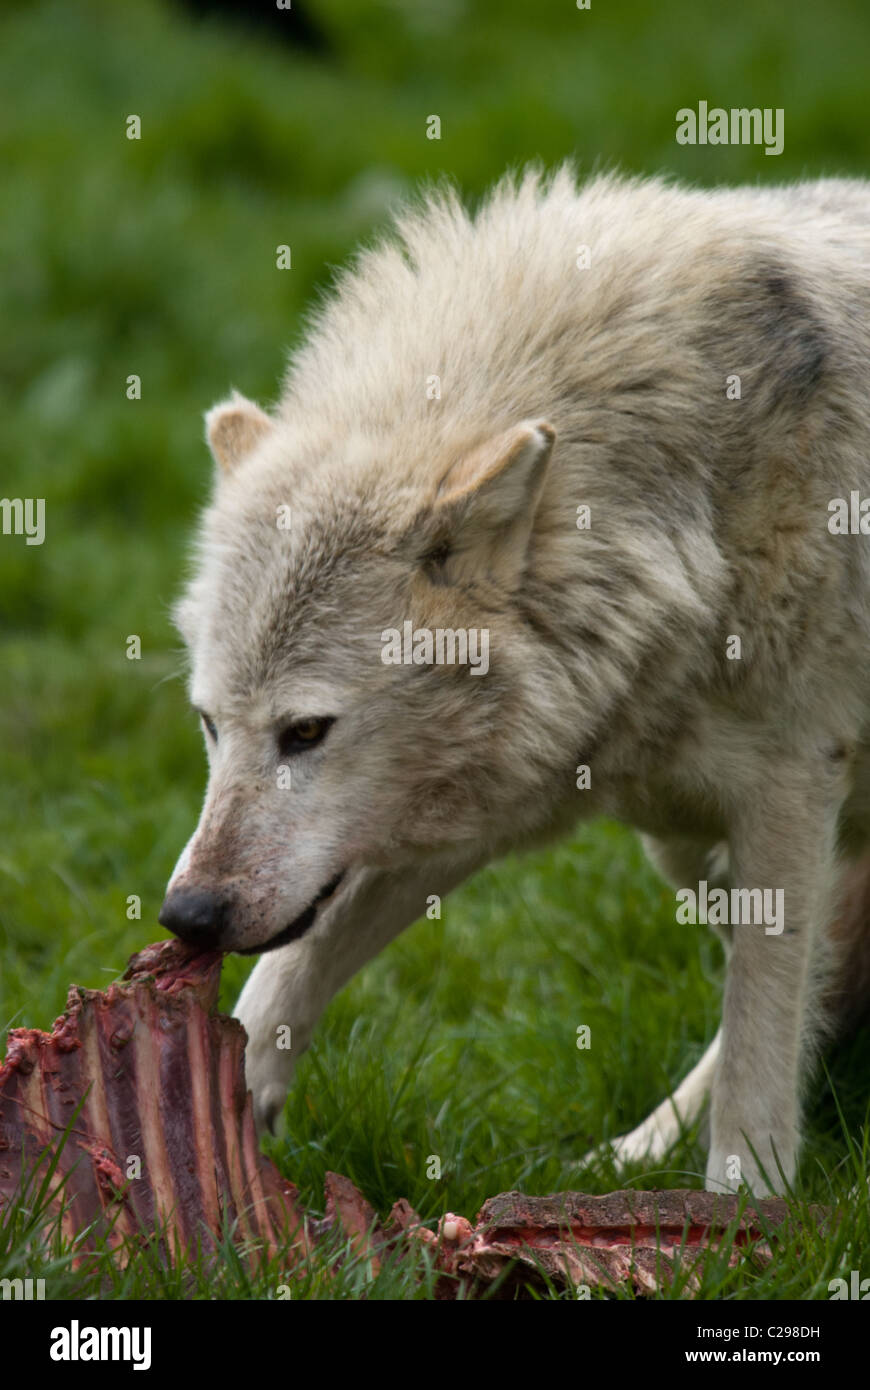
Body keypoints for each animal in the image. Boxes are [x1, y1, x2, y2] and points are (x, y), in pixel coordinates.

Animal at [160, 167, 870, 1194]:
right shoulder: (486, 793)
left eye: (306, 732)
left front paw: (748, 1207)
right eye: (211, 725)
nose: (187, 915)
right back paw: (642, 1148)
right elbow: (293, 968)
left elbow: (761, 1035)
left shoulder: (790, 785)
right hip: (684, 849)